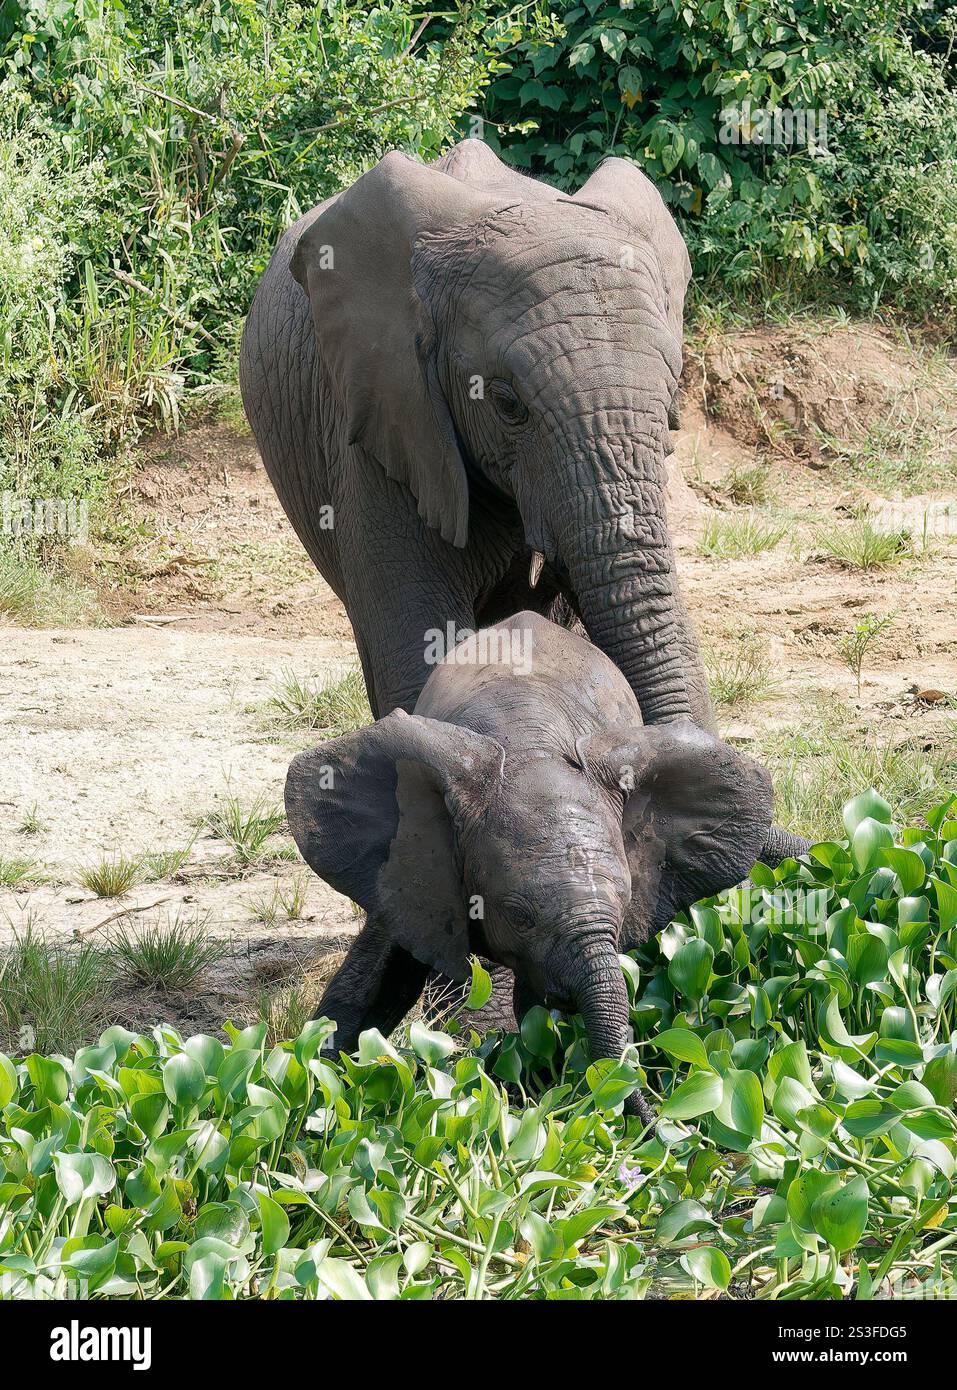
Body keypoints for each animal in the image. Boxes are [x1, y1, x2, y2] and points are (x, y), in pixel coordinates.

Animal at [285, 612, 774, 1119]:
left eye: (624, 910)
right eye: (518, 915)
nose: (654, 1116)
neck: (530, 747)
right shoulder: (414, 859)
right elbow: (381, 970)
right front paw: (318, 1078)